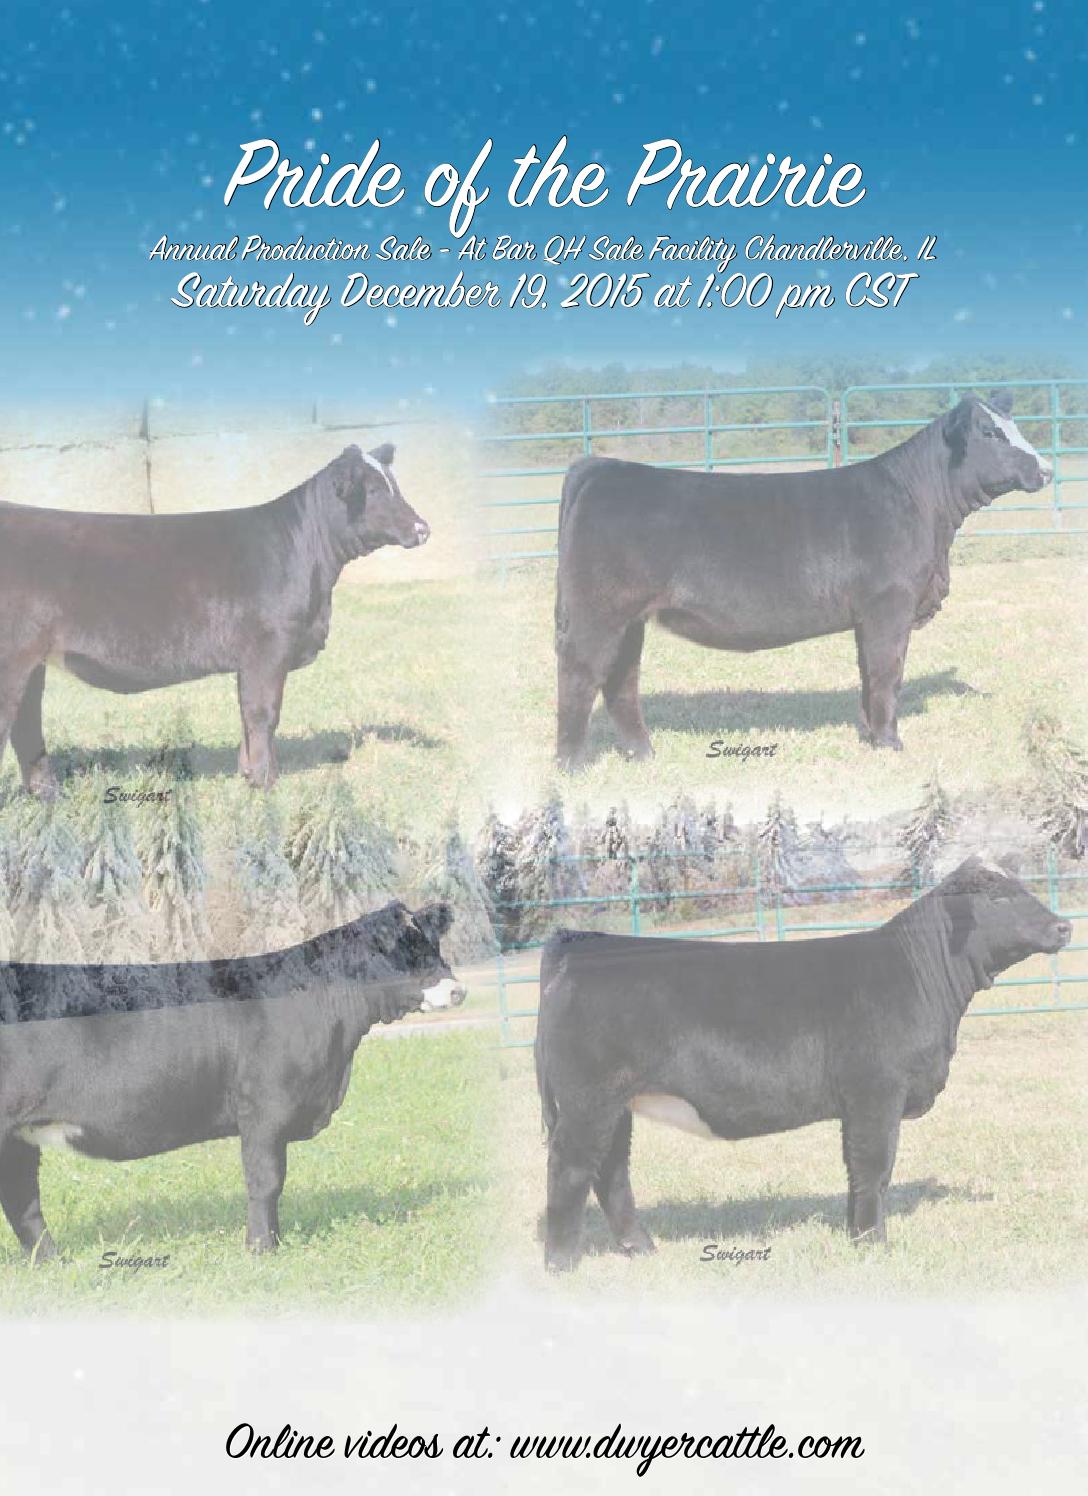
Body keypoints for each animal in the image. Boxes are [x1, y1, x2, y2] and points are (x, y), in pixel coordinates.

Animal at [0, 443, 429, 795]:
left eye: (394, 483)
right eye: (372, 491)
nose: (422, 528)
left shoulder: (252, 658)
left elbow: (246, 711)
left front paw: (248, 773)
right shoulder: (269, 646)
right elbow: (263, 712)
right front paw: (265, 782)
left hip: (32, 661)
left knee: (26, 725)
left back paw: (48, 794)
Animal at [0, 900, 465, 1260]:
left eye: (433, 943)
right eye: (403, 949)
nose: (457, 991)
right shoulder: (264, 1111)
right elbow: (266, 1182)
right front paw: (262, 1249)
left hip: (17, 1139)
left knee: (22, 1200)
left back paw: (51, 1261)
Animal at [533, 857, 1070, 1271]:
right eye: (997, 898)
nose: (1064, 926)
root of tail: (585, 944)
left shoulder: (859, 1104)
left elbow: (856, 1168)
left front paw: (854, 1234)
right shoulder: (877, 1092)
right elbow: (875, 1167)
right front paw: (873, 1243)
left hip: (615, 1104)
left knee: (610, 1171)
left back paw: (641, 1248)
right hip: (588, 1101)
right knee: (571, 1168)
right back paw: (561, 1263)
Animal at [554, 395, 1052, 767]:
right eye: (990, 433)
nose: (1046, 469)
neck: (921, 503)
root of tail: (602, 467)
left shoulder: (866, 616)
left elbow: (868, 671)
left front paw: (870, 733)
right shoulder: (889, 605)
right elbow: (888, 671)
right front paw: (890, 742)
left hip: (629, 619)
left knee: (620, 680)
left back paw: (642, 753)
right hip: (598, 611)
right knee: (580, 673)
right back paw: (571, 763)